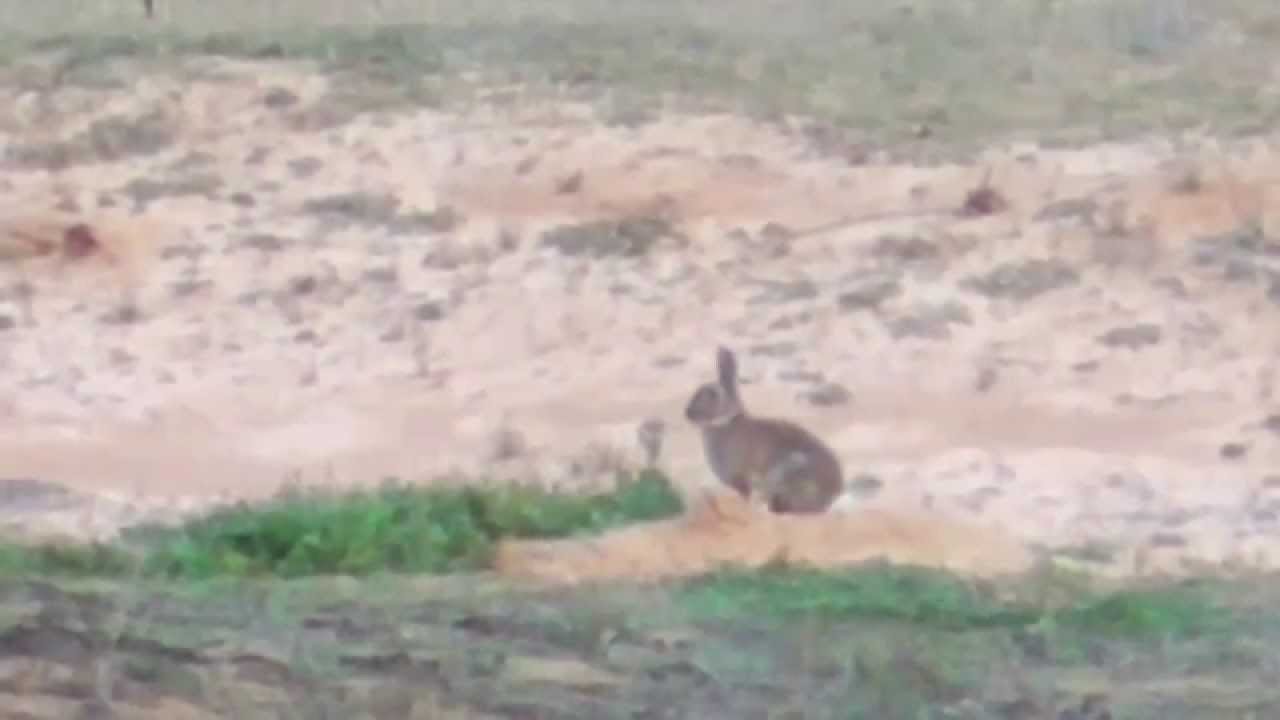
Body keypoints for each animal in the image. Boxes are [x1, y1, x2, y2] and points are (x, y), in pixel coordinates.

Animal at [684, 346, 845, 514]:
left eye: (712, 395)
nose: (687, 413)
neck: (726, 421)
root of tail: (834, 493)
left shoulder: (741, 476)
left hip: (790, 471)